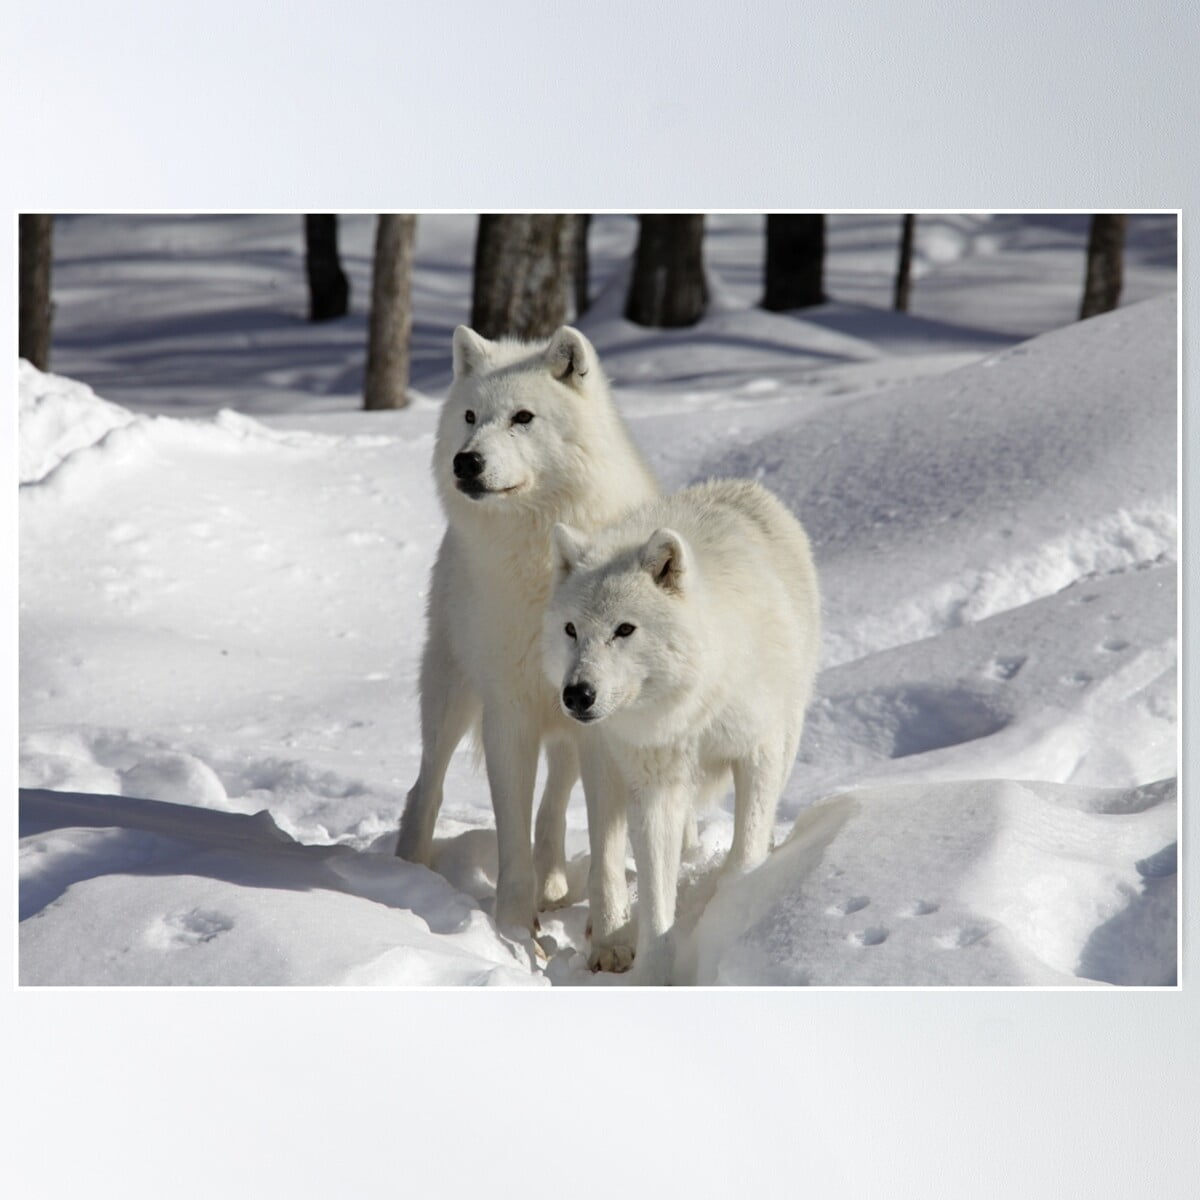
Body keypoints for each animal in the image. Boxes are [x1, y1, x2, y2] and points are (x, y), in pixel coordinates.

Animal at [395, 324, 659, 944]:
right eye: (470, 416)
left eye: (522, 417)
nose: (466, 461)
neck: (540, 564)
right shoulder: (508, 713)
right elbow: (511, 836)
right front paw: (514, 932)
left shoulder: (596, 719)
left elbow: (603, 844)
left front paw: (609, 937)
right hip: (450, 694)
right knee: (427, 785)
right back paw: (405, 871)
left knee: (555, 800)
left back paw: (557, 882)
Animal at [542, 479, 821, 983]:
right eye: (571, 629)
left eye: (624, 630)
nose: (577, 694)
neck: (692, 706)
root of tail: (744, 485)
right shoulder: (656, 785)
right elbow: (656, 899)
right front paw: (654, 972)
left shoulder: (759, 750)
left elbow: (747, 846)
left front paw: (735, 904)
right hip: (604, 767)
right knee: (607, 857)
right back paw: (611, 939)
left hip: (789, 734)